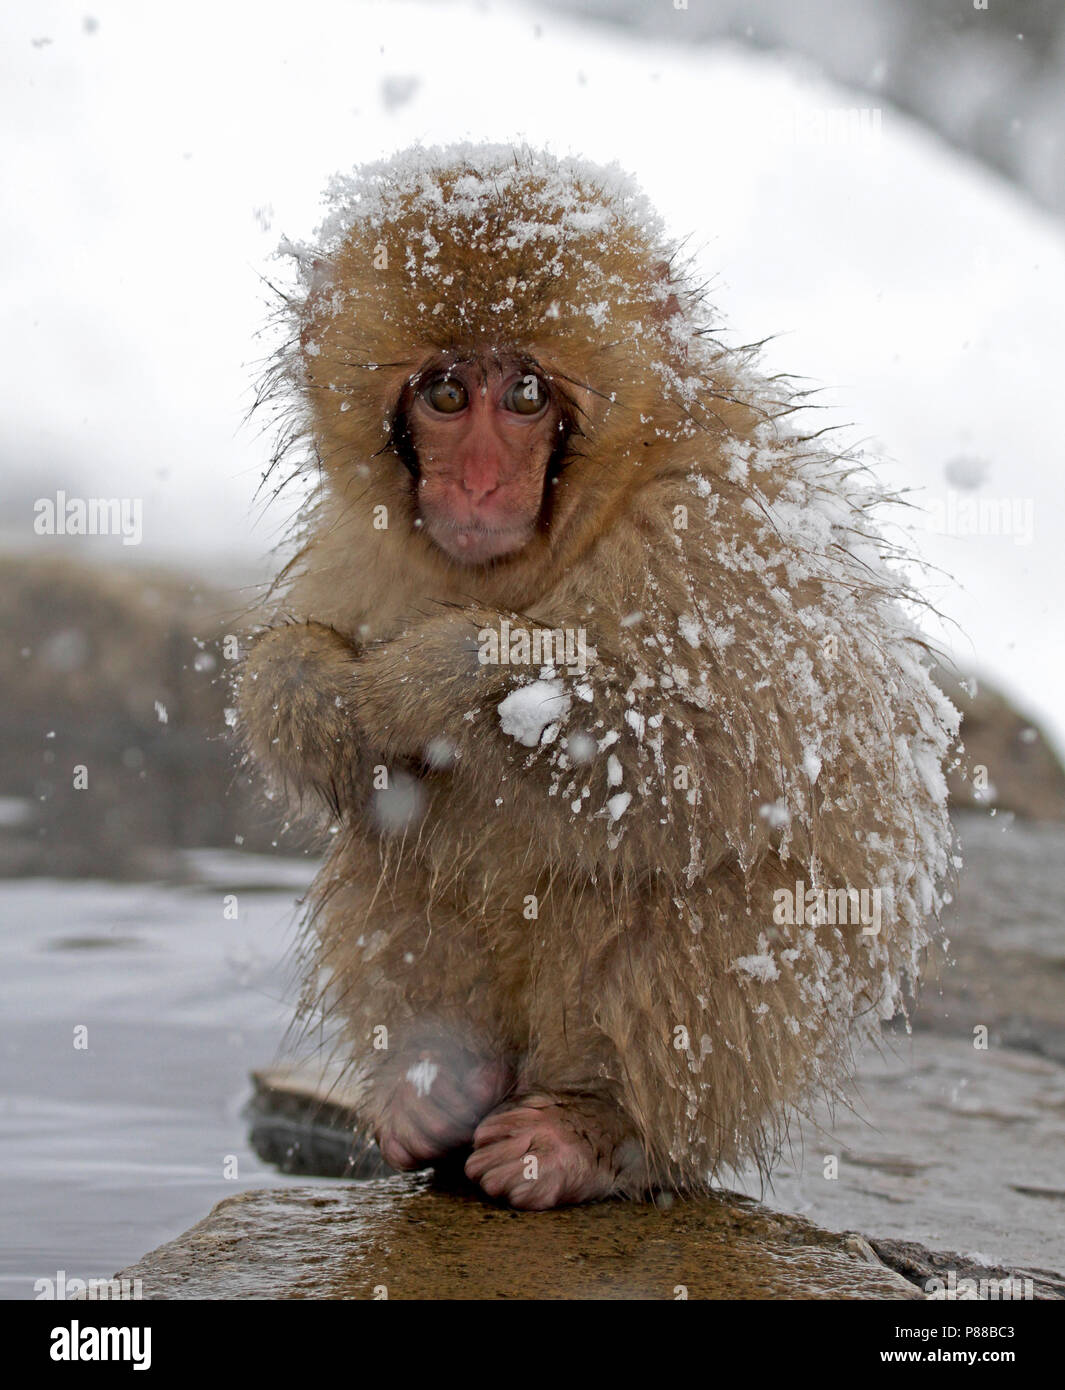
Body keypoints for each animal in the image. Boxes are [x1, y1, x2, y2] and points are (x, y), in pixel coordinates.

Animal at [237, 144, 958, 1210]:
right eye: (445, 394)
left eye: (526, 397)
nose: (479, 481)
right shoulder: (358, 542)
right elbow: (315, 700)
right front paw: (309, 691)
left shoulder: (716, 522)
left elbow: (723, 756)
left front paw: (437, 674)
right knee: (393, 836)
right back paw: (437, 1086)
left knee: (672, 872)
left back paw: (593, 1134)